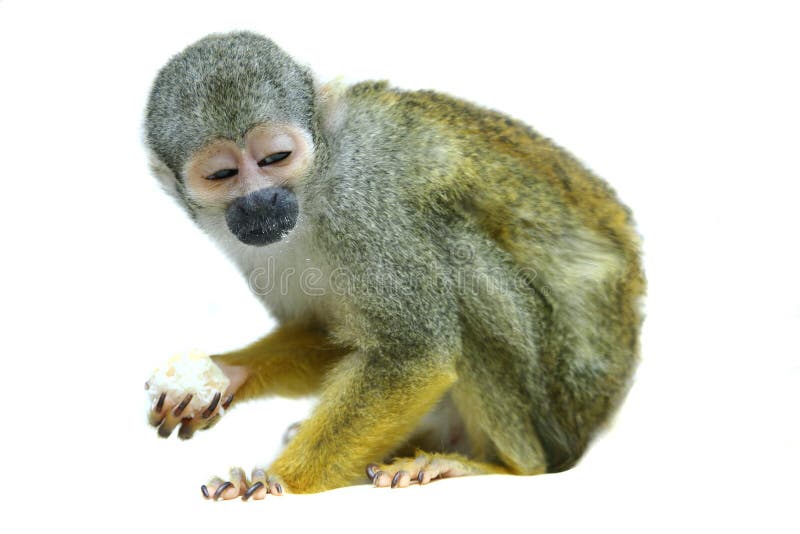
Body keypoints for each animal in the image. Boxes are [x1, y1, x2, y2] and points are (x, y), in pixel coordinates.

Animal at [143, 31, 645, 500]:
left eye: (274, 158)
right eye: (222, 174)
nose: (261, 202)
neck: (316, 190)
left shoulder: (364, 208)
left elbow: (414, 352)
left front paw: (277, 481)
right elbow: (327, 334)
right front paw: (223, 374)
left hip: (556, 399)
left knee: (455, 250)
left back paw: (499, 466)